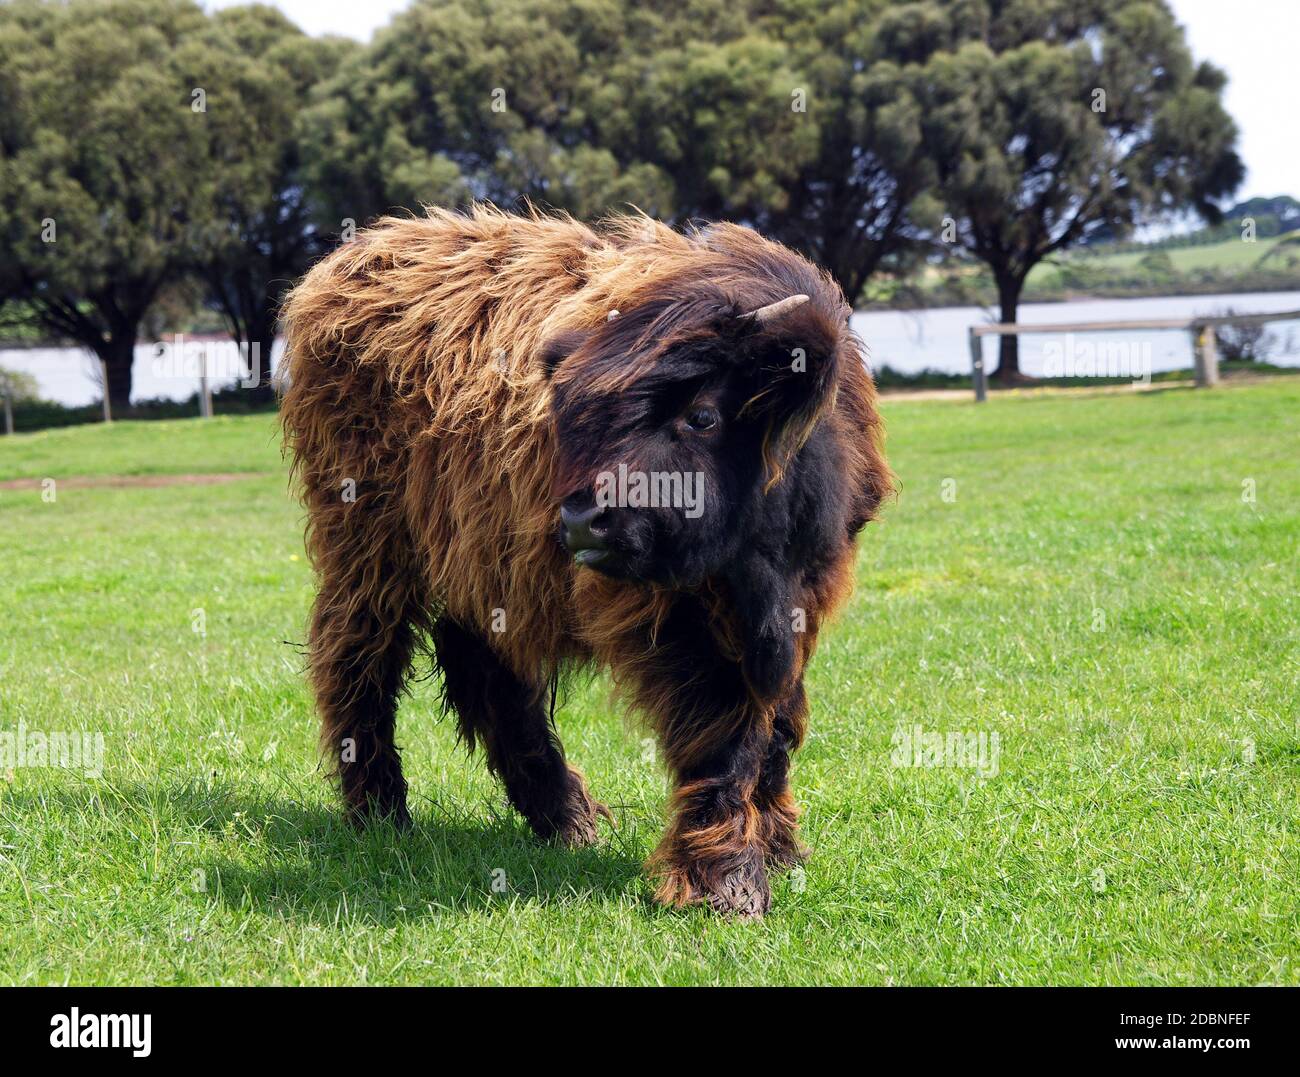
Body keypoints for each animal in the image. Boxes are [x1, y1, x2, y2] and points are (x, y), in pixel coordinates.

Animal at [280, 205, 890, 916]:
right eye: (572, 414)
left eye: (702, 415)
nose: (577, 519)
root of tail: (357, 259)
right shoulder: (670, 619)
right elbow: (724, 735)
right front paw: (727, 881)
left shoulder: (803, 600)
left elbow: (778, 726)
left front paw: (781, 849)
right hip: (368, 546)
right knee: (357, 660)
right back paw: (381, 814)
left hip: (479, 563)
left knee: (486, 678)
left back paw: (566, 819)